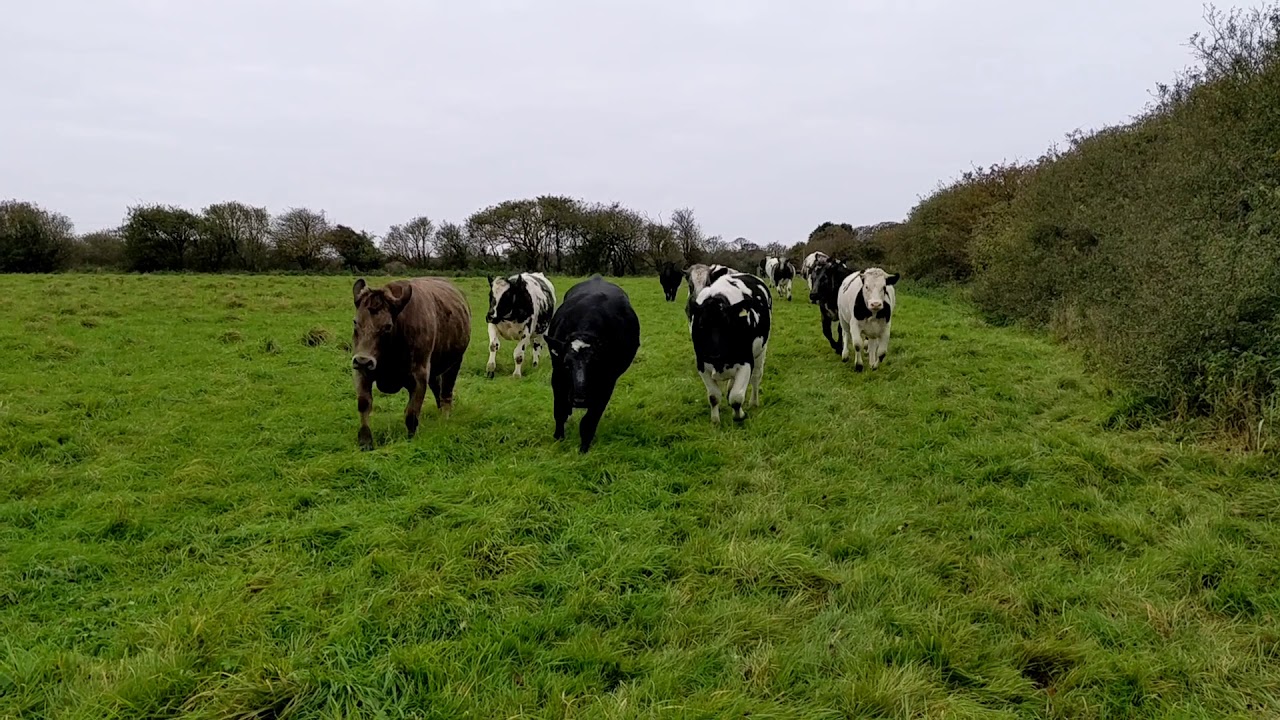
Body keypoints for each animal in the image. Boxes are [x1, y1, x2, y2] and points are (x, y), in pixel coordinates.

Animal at [350, 276, 472, 450]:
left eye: (387, 326)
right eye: (355, 322)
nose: (363, 360)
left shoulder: (419, 376)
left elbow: (412, 412)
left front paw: (410, 439)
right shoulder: (361, 372)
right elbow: (364, 404)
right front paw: (365, 442)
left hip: (454, 363)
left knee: (446, 392)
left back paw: (444, 417)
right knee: (437, 388)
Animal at [545, 275, 641, 453]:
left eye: (595, 363)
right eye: (567, 364)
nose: (580, 399)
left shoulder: (608, 383)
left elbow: (589, 420)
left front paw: (584, 448)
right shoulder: (558, 375)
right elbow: (559, 411)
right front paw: (558, 438)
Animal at [688, 270, 772, 423]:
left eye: (727, 325)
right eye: (701, 325)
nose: (713, 353)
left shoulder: (746, 362)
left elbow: (737, 397)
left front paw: (739, 416)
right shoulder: (701, 364)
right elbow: (714, 396)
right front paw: (715, 420)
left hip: (761, 350)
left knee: (756, 377)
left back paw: (753, 402)